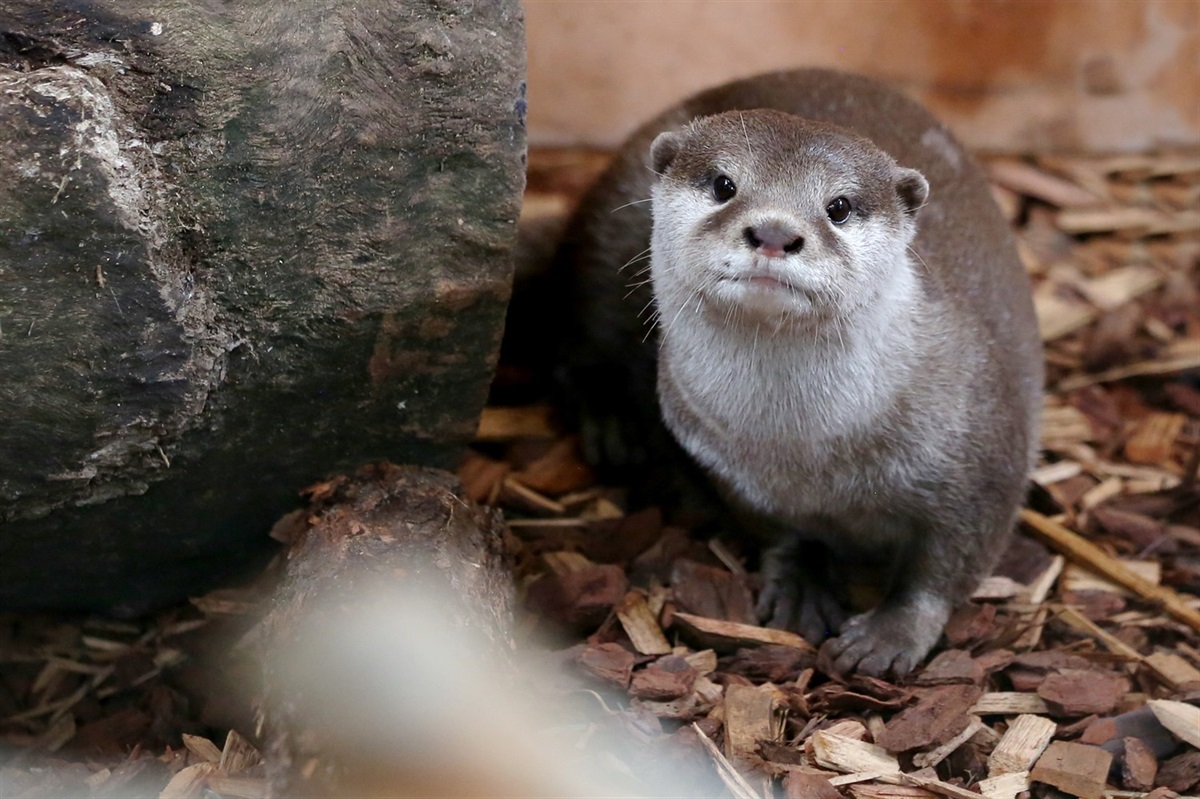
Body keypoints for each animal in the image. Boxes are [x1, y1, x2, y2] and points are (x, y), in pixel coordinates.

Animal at [552, 69, 1042, 677]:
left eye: (839, 206)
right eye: (723, 185)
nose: (773, 233)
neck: (812, 452)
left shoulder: (985, 454)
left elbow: (946, 567)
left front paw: (888, 634)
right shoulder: (728, 467)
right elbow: (780, 532)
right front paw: (801, 582)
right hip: (608, 224)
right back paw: (611, 422)